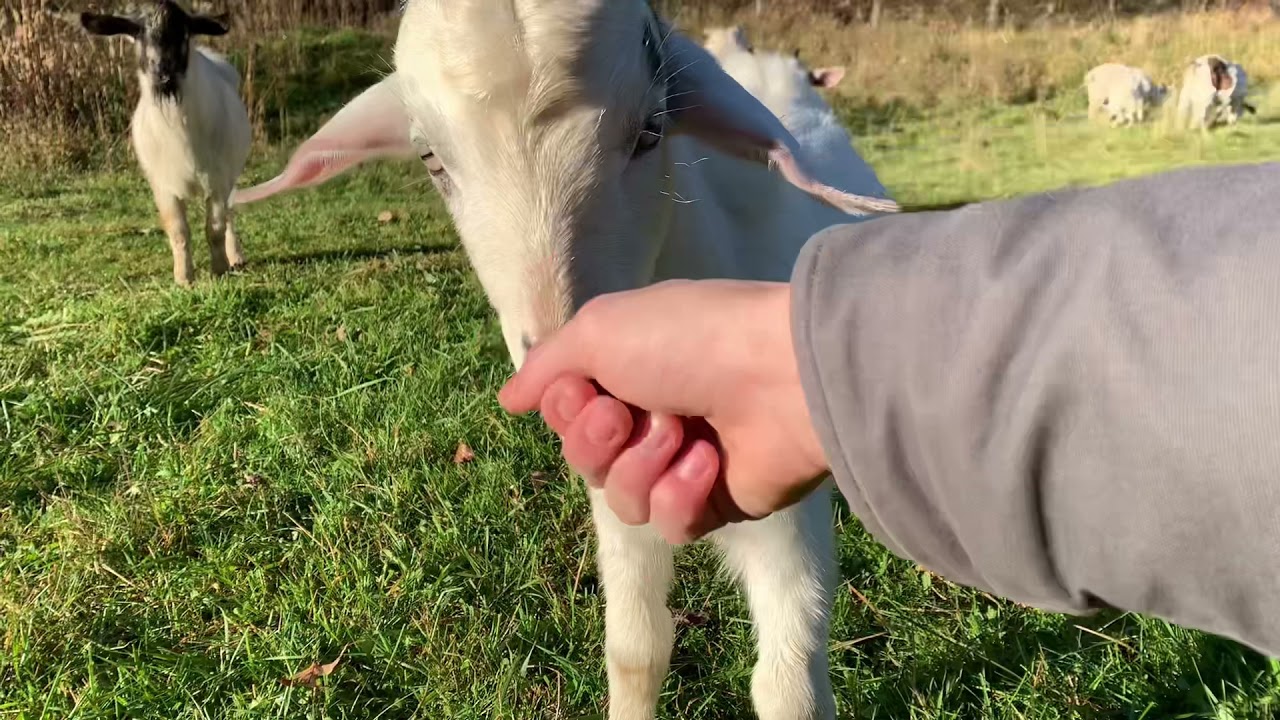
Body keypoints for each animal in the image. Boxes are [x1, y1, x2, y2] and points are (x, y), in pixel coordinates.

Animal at [81, 1, 251, 287]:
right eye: (139, 33)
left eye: (183, 33)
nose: (163, 72)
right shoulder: (163, 185)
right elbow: (178, 231)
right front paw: (183, 278)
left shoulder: (217, 181)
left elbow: (215, 227)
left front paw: (219, 269)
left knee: (229, 215)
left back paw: (235, 257)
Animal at [233, 2, 898, 718]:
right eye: (430, 158)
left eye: (652, 129)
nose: (556, 360)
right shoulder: (620, 496)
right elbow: (636, 649)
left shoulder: (785, 512)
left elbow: (788, 682)